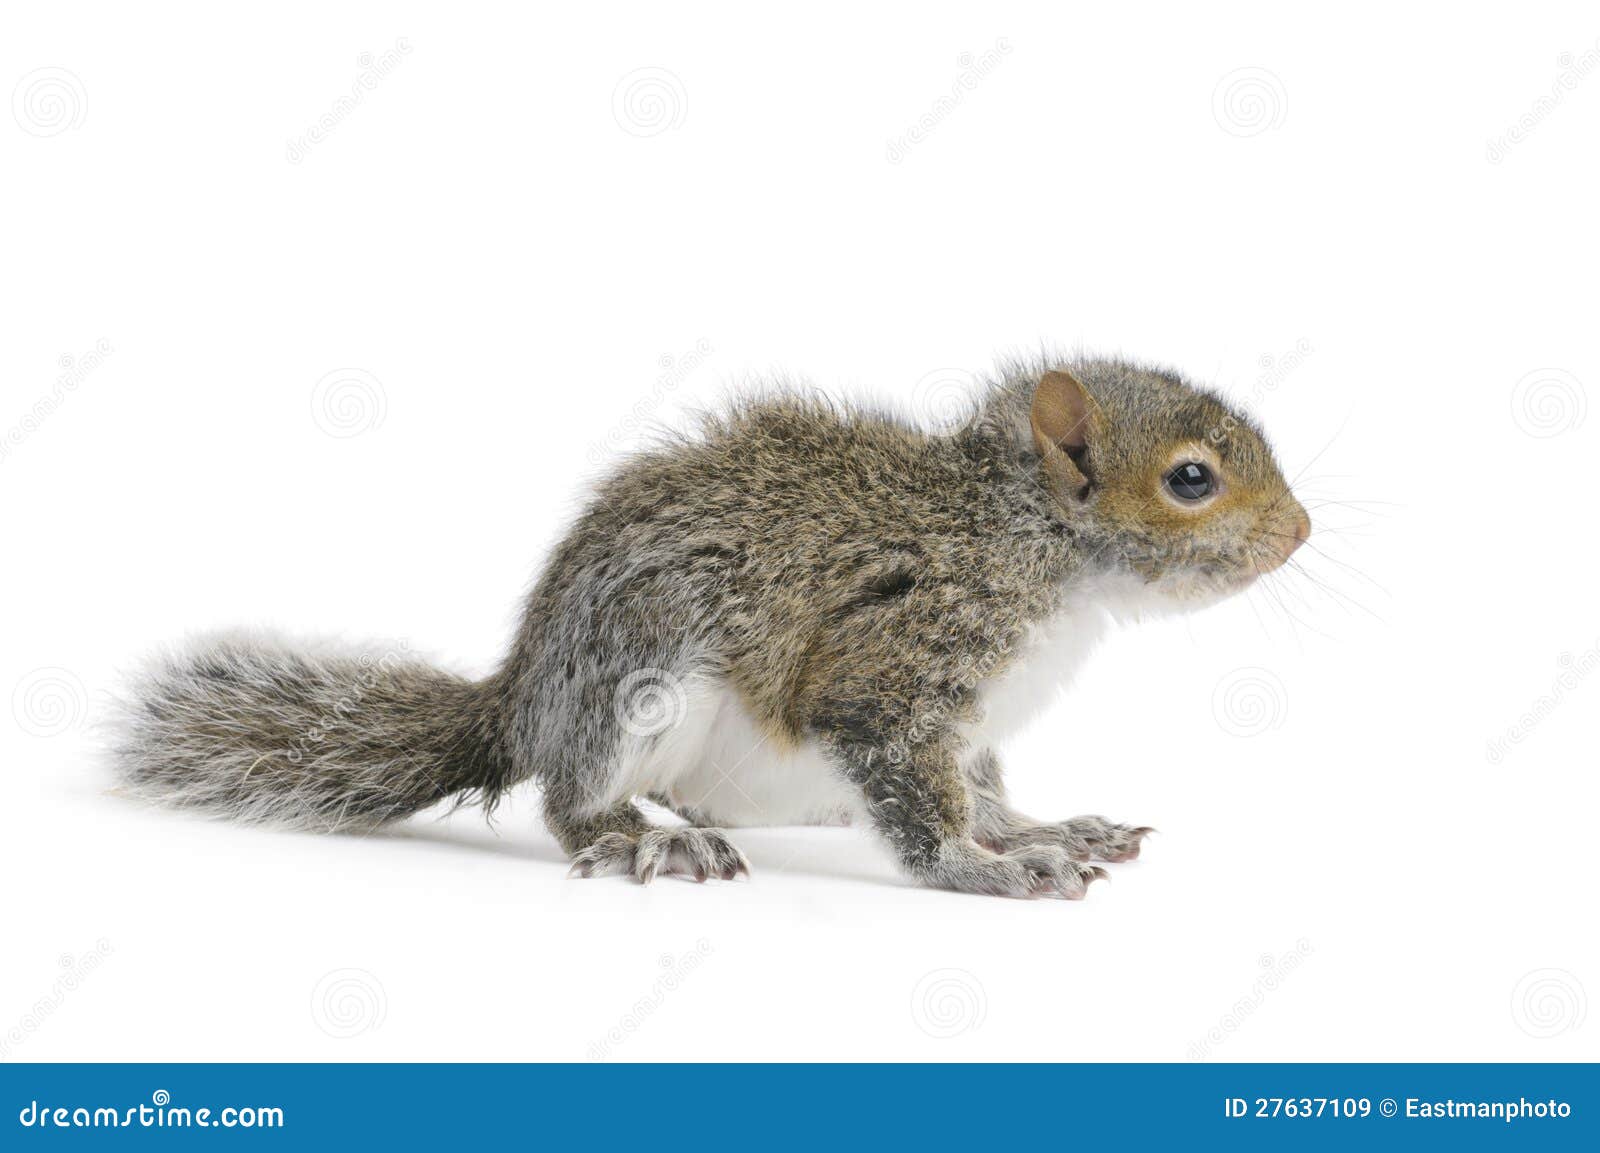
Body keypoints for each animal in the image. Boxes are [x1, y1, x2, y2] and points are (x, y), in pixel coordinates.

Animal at [114, 356, 1309, 899]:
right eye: (1191, 478)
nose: (1299, 531)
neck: (1035, 541)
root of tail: (525, 700)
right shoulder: (893, 664)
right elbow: (919, 798)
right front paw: (982, 868)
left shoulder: (972, 728)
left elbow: (982, 789)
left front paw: (1040, 829)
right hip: (637, 680)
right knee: (569, 800)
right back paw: (638, 837)